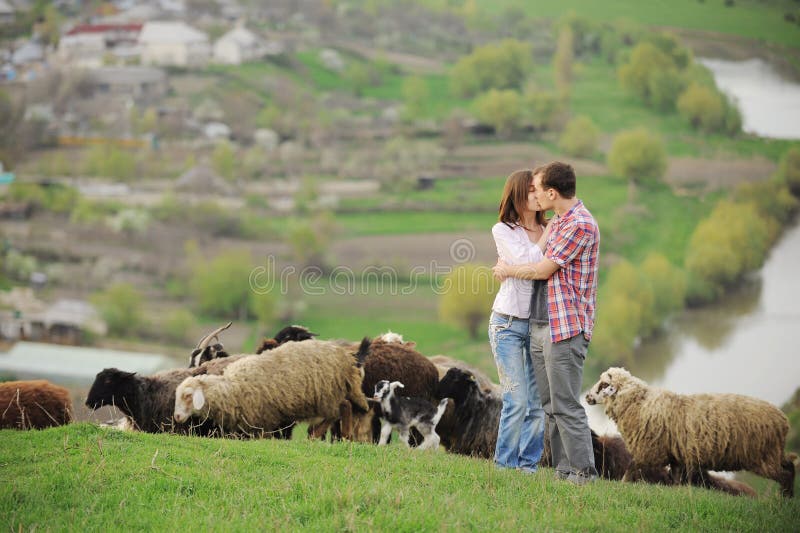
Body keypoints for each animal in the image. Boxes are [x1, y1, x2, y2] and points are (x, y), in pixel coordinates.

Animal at [174, 338, 371, 439]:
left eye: (188, 396)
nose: (176, 417)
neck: (233, 388)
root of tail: (347, 357)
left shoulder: (265, 419)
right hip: (330, 394)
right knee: (345, 405)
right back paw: (342, 435)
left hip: (326, 394)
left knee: (336, 411)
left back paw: (319, 433)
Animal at [586, 367, 795, 497]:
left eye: (603, 385)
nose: (587, 397)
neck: (640, 403)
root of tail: (783, 422)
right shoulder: (676, 457)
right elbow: (676, 480)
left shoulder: (649, 452)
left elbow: (630, 470)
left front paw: (622, 486)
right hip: (773, 454)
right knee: (790, 467)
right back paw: (789, 498)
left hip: (762, 457)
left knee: (785, 475)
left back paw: (782, 501)